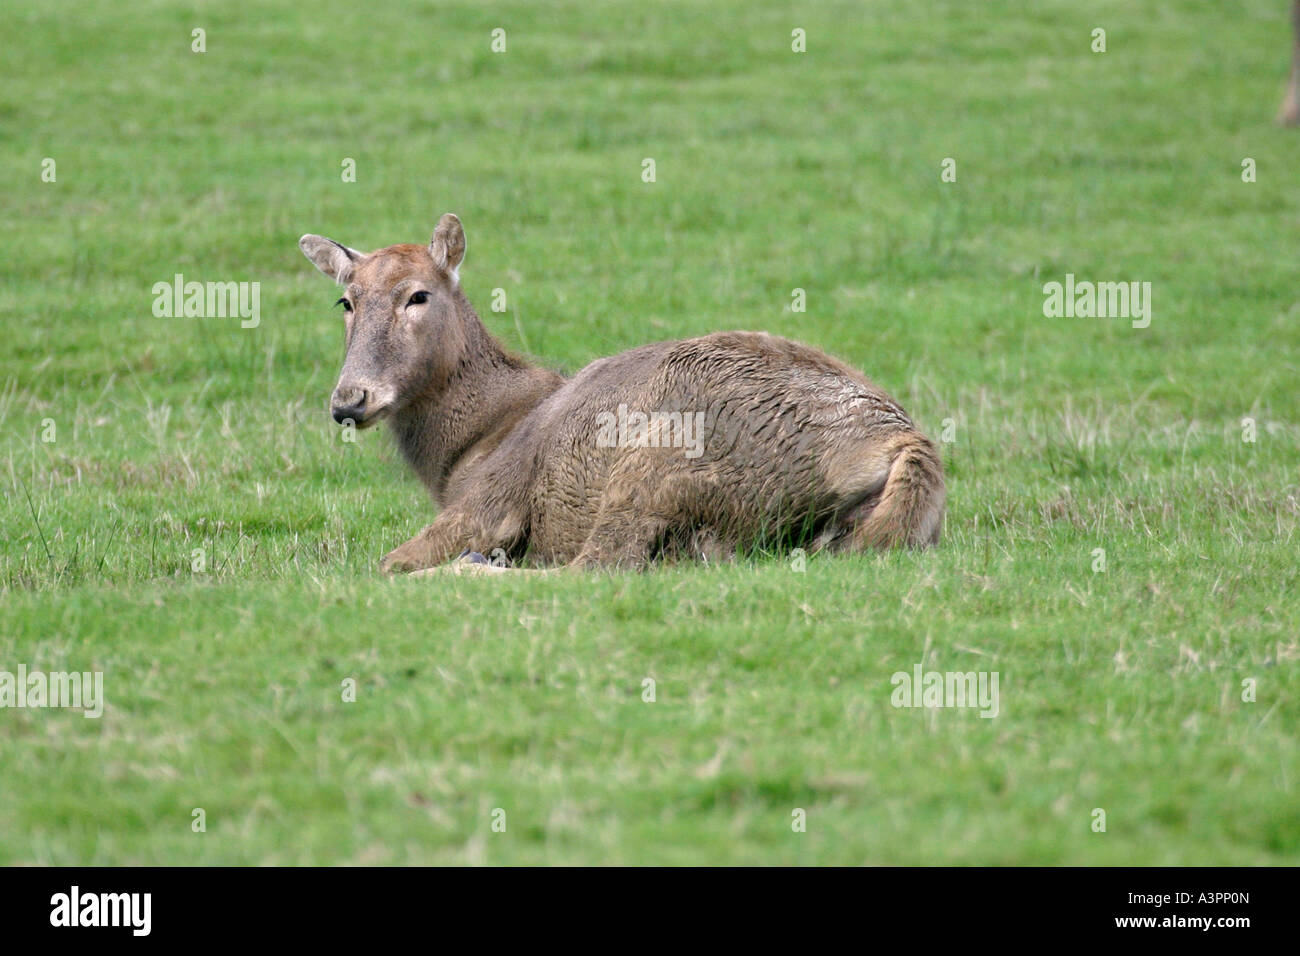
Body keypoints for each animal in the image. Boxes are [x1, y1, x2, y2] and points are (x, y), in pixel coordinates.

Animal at [298, 214, 945, 575]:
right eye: (345, 300)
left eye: (418, 295)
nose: (349, 400)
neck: (465, 451)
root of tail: (906, 444)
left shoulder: (490, 500)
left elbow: (387, 562)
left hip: (663, 455)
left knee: (596, 567)